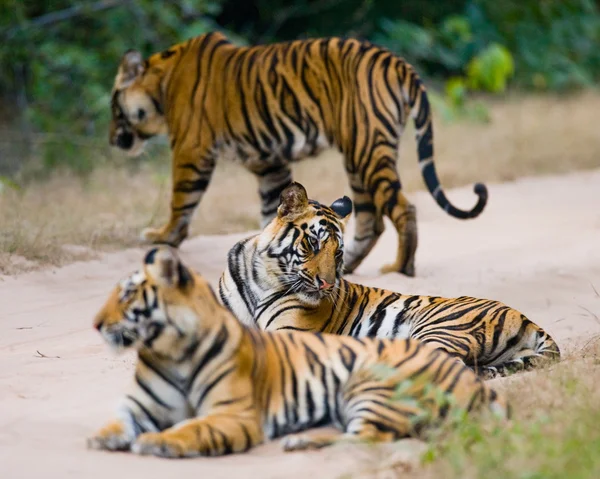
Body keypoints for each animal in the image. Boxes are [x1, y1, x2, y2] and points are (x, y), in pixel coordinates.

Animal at [86, 246, 508, 460]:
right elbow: (120, 420)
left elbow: (194, 427)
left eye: (128, 295)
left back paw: (299, 442)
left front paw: (160, 441)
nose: (96, 323)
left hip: (401, 362)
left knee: (373, 436)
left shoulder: (241, 407)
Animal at [110, 31, 490, 278]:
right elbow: (271, 212)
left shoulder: (191, 149)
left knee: (401, 209)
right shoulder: (270, 163)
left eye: (114, 106)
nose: (112, 140)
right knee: (371, 220)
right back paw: (347, 265)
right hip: (358, 157)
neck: (162, 81)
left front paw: (162, 236)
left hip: (368, 150)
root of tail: (397, 62)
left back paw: (400, 268)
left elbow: (181, 200)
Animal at [220, 182, 564, 380]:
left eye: (338, 253)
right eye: (313, 245)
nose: (327, 285)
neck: (260, 277)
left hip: (437, 330)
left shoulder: (289, 335)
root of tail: (527, 319)